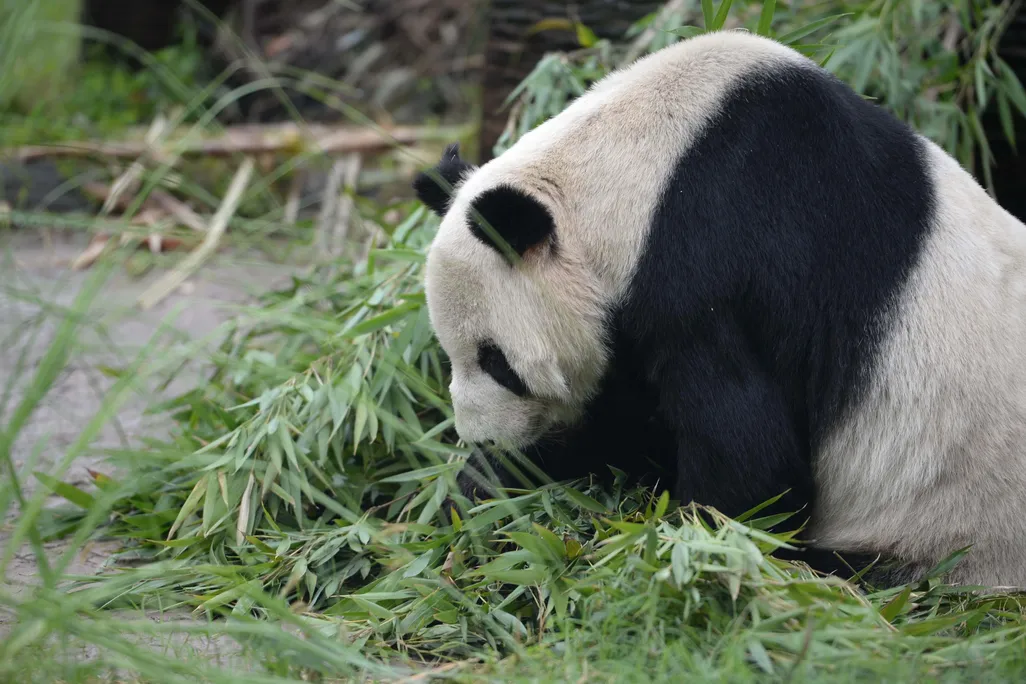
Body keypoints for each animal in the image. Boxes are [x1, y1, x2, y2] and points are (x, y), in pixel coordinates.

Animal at [411, 29, 1026, 589]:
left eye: (498, 363)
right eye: (450, 356)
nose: (482, 438)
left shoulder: (712, 267)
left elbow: (751, 466)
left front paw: (677, 542)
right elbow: (630, 424)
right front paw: (484, 485)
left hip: (938, 535)